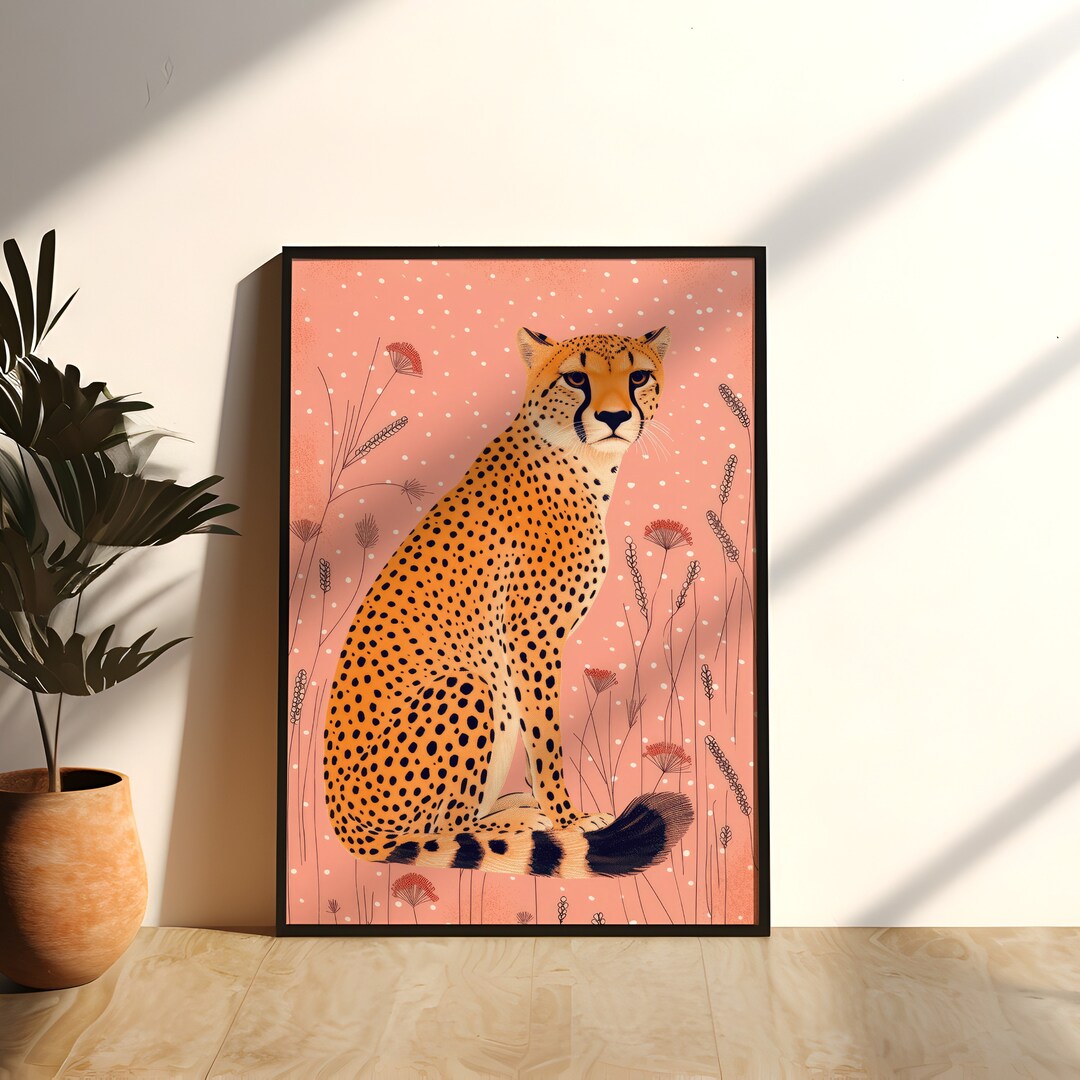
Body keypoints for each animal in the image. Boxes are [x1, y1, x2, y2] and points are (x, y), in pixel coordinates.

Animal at [324, 325, 692, 877]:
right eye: (576, 378)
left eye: (639, 376)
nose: (614, 417)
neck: (581, 462)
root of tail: (340, 818)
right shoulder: (531, 636)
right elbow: (546, 737)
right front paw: (569, 819)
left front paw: (554, 810)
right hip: (469, 683)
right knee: (443, 832)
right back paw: (517, 823)